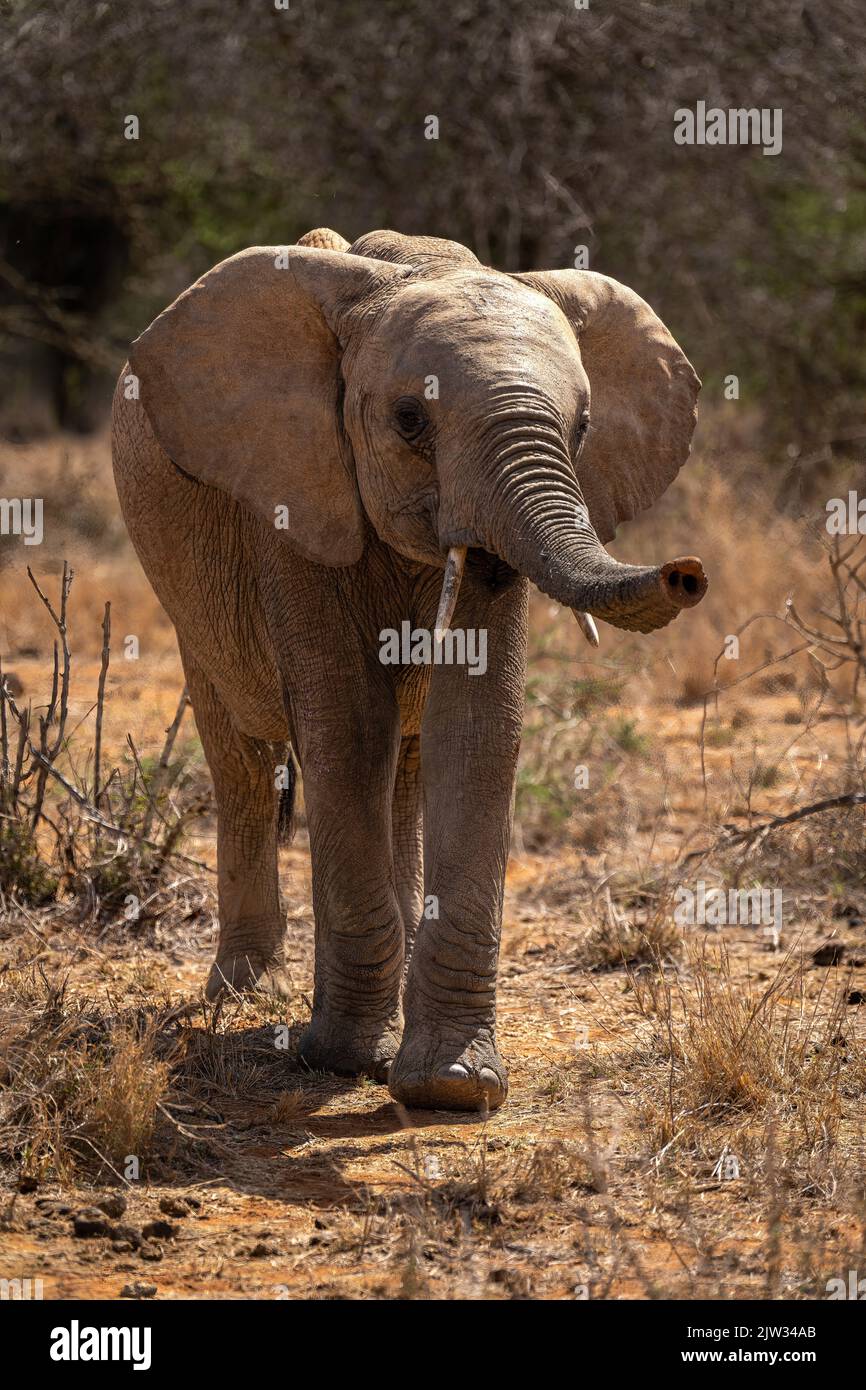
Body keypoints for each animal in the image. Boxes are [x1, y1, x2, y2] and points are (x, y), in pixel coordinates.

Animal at [111, 226, 706, 1112]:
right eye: (409, 419)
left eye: (584, 426)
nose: (688, 574)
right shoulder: (292, 491)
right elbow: (346, 726)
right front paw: (342, 1058)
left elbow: (479, 731)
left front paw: (451, 1086)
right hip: (189, 596)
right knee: (244, 759)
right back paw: (245, 993)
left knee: (405, 765)